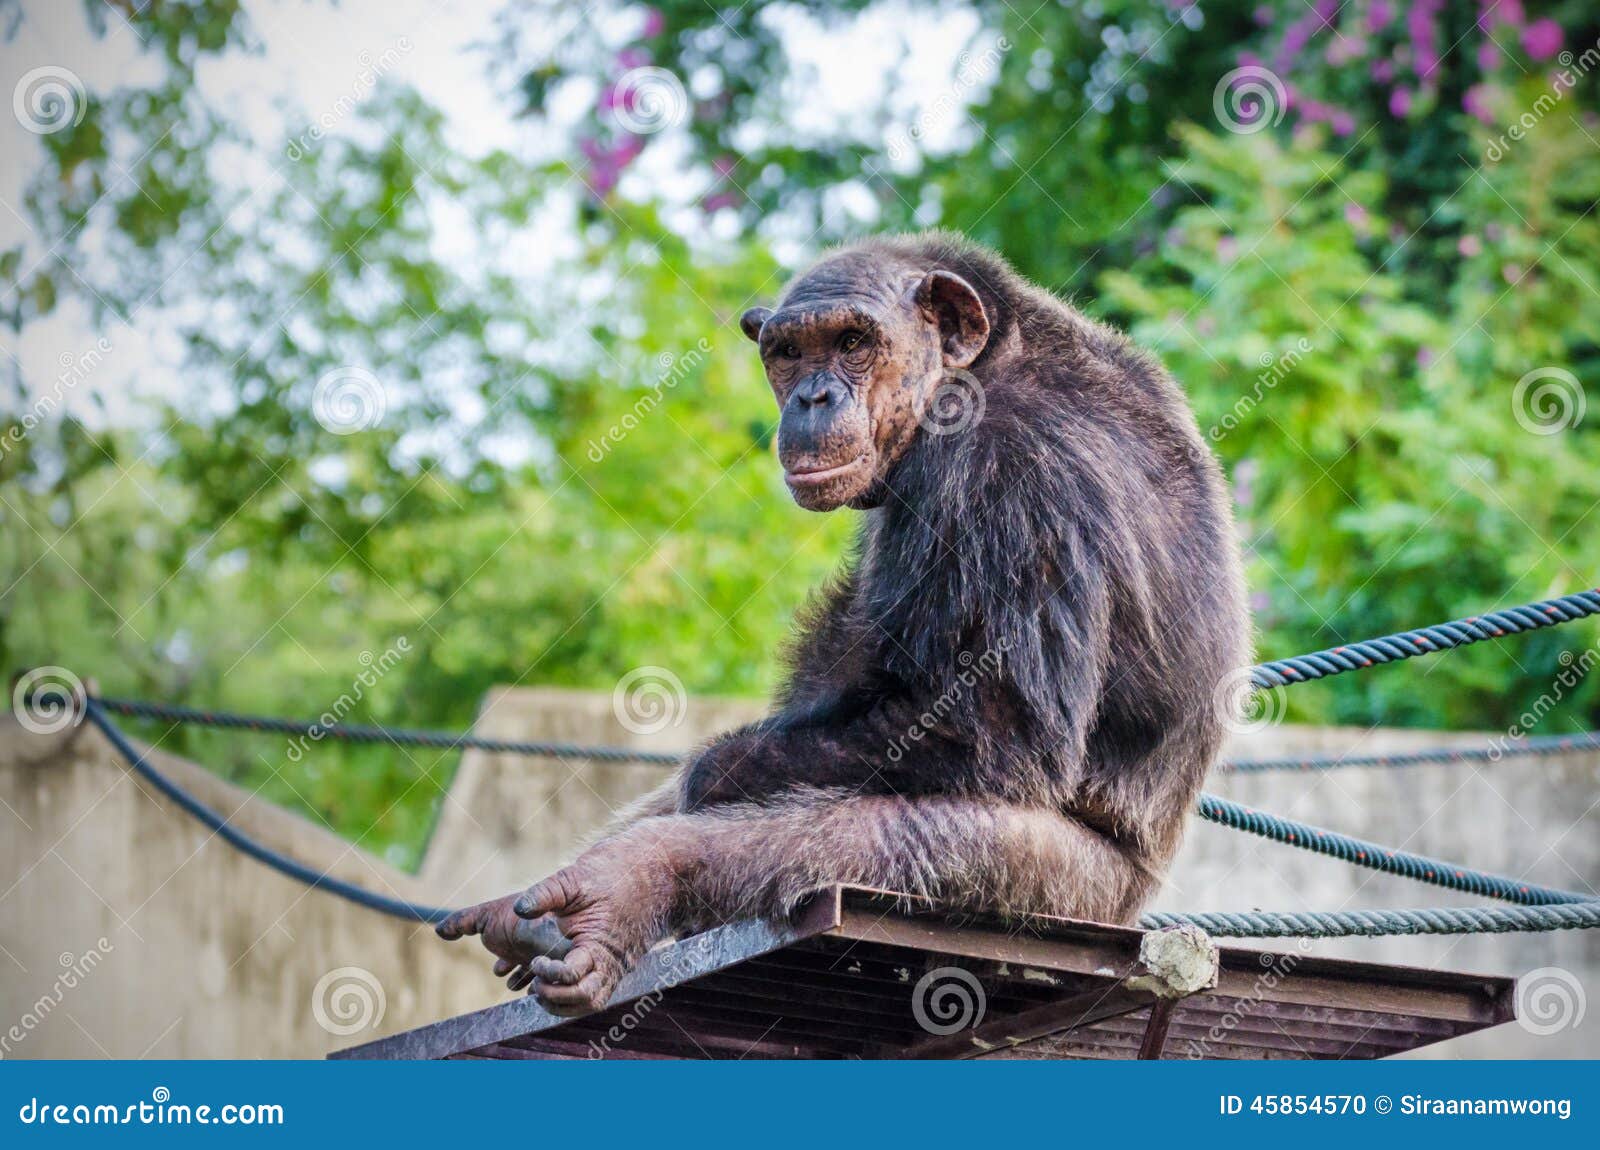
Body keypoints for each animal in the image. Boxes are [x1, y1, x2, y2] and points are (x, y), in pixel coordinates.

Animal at [437, 231, 1250, 1016]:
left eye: (854, 341)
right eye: (790, 352)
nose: (812, 396)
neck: (982, 370)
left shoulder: (1011, 476)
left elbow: (992, 727)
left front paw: (707, 776)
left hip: (1059, 885)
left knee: (865, 836)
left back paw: (631, 885)